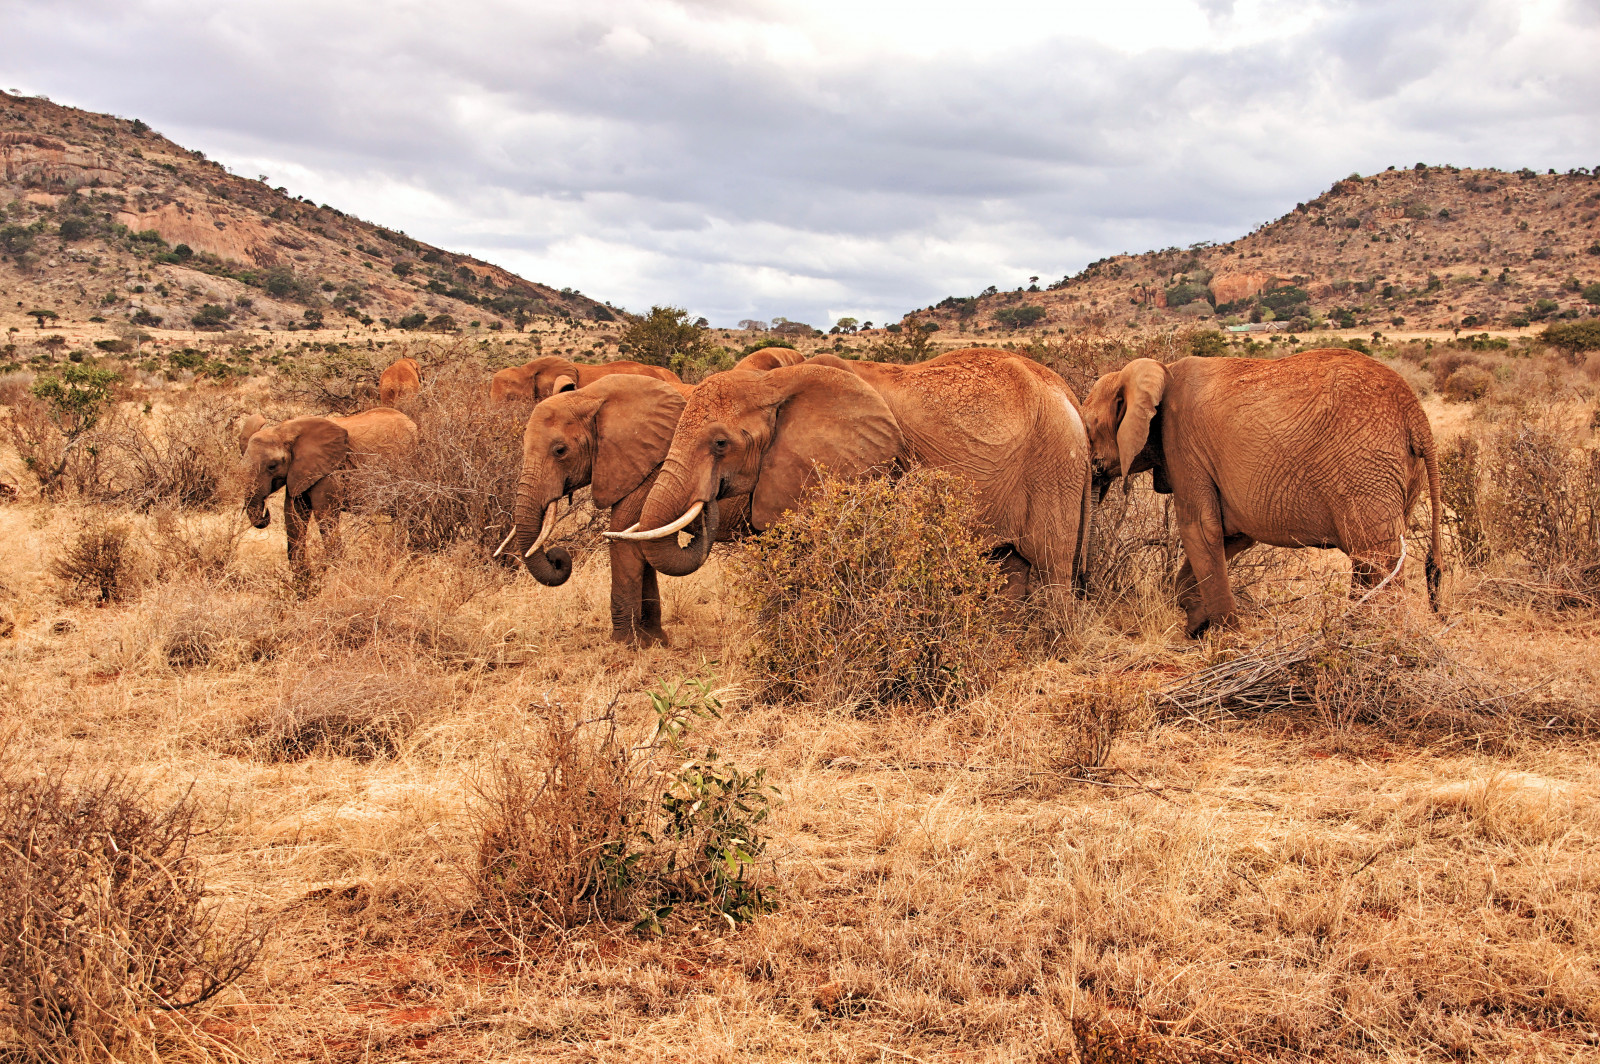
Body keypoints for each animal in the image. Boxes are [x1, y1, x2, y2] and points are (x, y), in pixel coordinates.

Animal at [241, 407, 418, 570]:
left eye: (272, 466)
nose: (266, 512)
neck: (283, 429)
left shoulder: (329, 471)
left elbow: (324, 515)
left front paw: (337, 570)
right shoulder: (299, 472)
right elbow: (294, 515)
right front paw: (302, 577)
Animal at [501, 374, 749, 646]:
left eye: (560, 450)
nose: (557, 557)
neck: (589, 397)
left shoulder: (651, 468)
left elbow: (623, 536)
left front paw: (626, 643)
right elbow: (641, 545)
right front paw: (653, 640)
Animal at [612, 348, 1091, 597]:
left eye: (720, 444)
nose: (709, 499)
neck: (778, 383)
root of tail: (1067, 392)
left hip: (1055, 465)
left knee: (1051, 563)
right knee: (1012, 565)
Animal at [1082, 348, 1443, 637]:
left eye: (1088, 426)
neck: (1159, 370)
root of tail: (1416, 414)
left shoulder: (1183, 442)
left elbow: (1201, 528)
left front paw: (1226, 638)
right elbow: (1232, 535)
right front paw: (1196, 622)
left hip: (1364, 465)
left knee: (1375, 558)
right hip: (1397, 473)